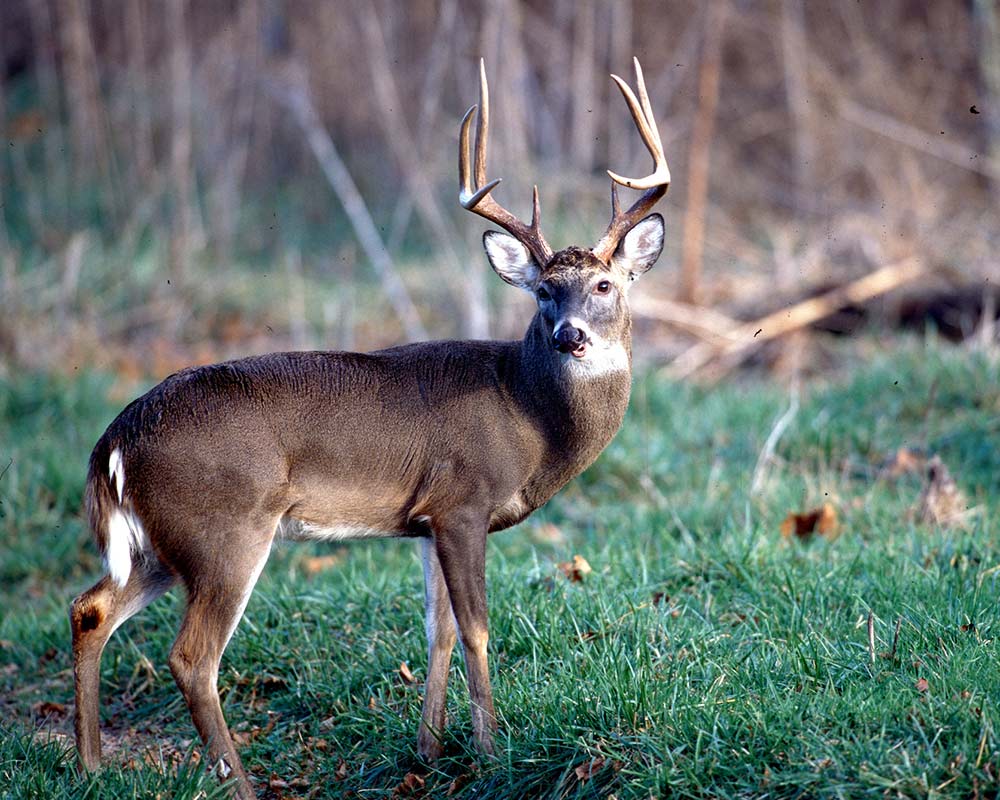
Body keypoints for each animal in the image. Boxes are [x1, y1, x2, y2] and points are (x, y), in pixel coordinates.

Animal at [70, 58, 670, 799]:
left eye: (605, 285)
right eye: (542, 291)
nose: (569, 336)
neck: (529, 416)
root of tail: (115, 440)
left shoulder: (428, 520)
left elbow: (438, 630)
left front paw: (430, 750)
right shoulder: (463, 500)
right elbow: (476, 630)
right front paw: (492, 752)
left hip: (157, 541)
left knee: (90, 609)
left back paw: (92, 765)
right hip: (223, 527)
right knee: (192, 657)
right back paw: (237, 782)